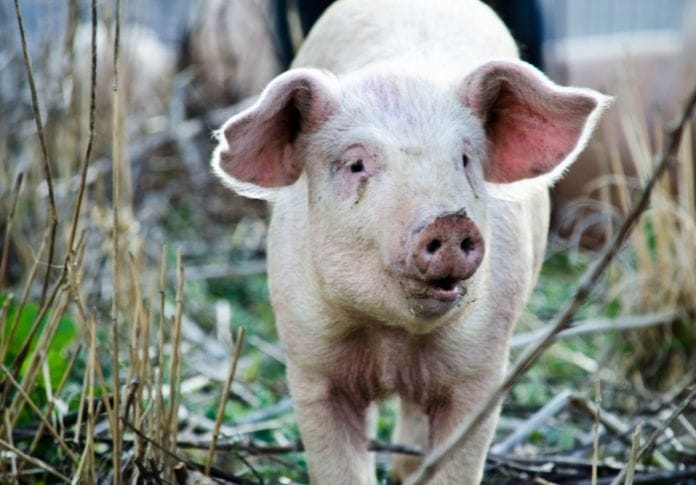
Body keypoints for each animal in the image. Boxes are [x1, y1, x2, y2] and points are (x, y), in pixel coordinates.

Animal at [211, 0, 609, 483]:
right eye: (356, 164)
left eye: (464, 159)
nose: (449, 220)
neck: (391, 338)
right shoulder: (309, 363)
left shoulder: (481, 369)